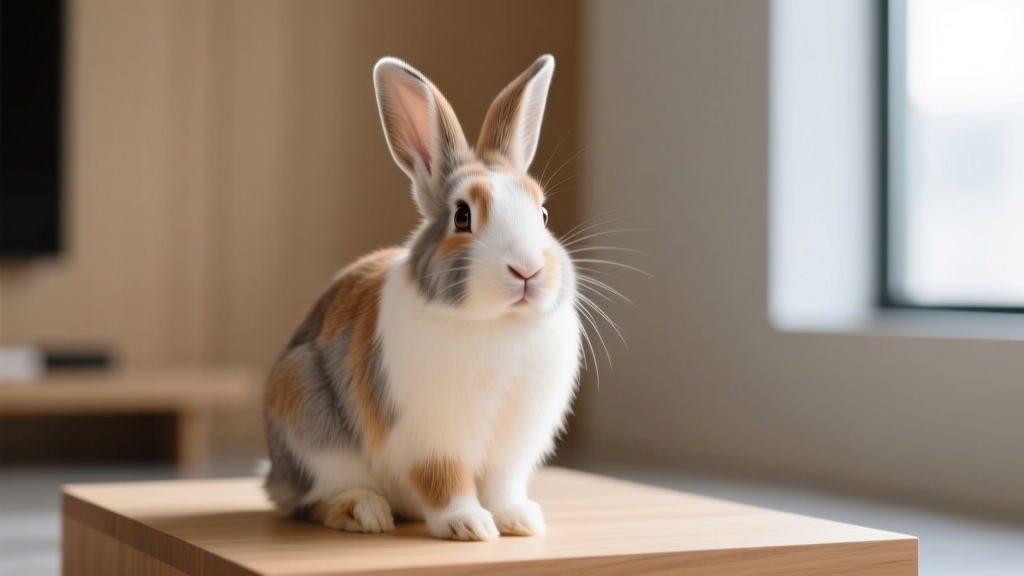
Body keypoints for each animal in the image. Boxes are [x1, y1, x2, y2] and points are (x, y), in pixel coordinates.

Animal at [262, 54, 581, 542]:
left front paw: (520, 520)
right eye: (462, 216)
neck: (498, 322)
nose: (528, 270)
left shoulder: (512, 448)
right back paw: (363, 512)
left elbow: (504, 485)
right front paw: (469, 525)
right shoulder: (433, 439)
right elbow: (443, 480)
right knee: (309, 501)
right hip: (307, 415)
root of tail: (274, 475)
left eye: (542, 214)